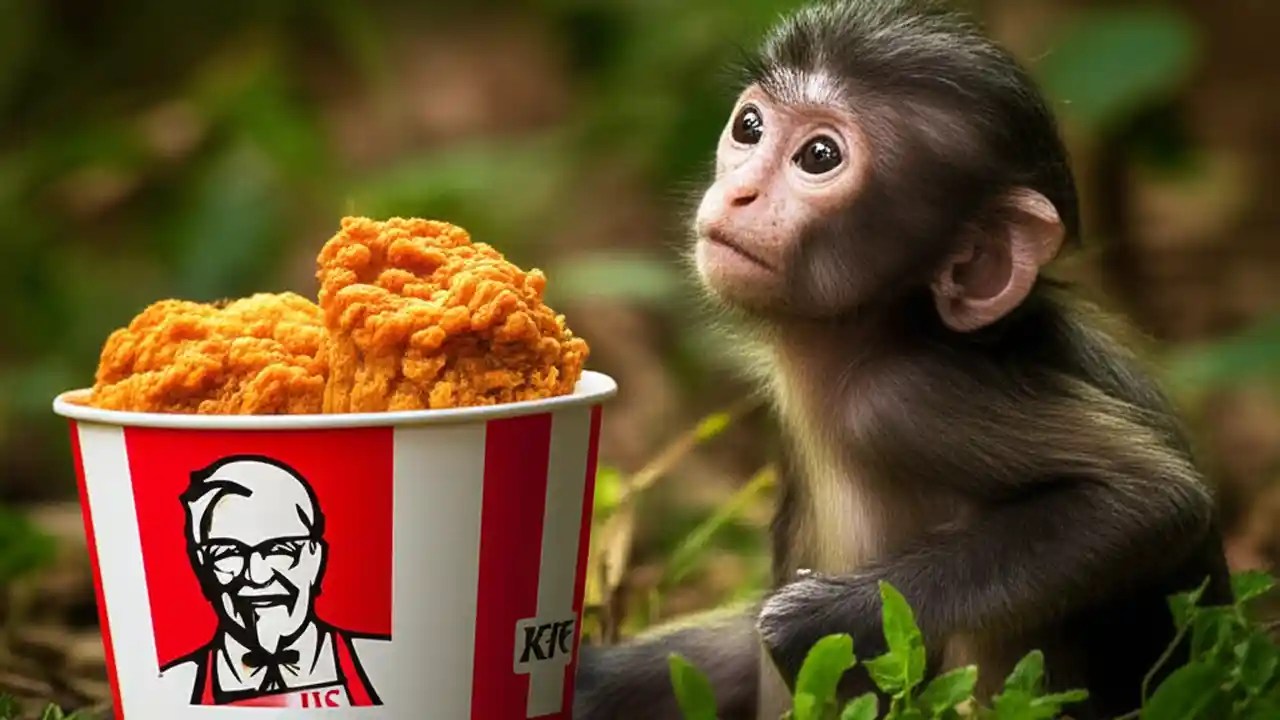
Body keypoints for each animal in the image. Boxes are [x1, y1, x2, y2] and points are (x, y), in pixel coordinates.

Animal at [570, 1, 1234, 719]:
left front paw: (817, 617)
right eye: (749, 127)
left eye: (820, 157)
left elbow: (1153, 501)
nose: (740, 192)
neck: (871, 339)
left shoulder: (910, 394)